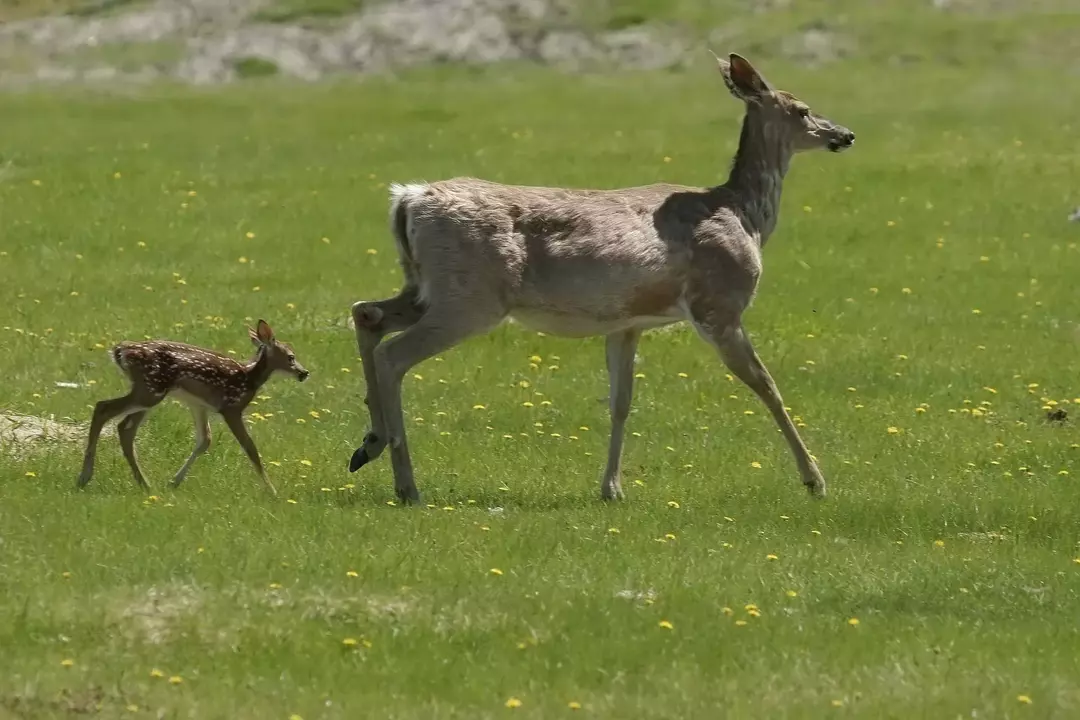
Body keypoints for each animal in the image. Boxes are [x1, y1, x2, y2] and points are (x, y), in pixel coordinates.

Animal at [76, 321, 308, 496]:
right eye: (291, 357)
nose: (304, 373)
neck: (248, 378)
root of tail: (120, 350)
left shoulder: (198, 405)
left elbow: (205, 440)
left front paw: (173, 482)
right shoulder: (231, 407)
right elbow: (250, 448)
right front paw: (273, 492)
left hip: (148, 390)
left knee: (124, 427)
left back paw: (143, 483)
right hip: (150, 390)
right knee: (104, 408)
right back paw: (85, 477)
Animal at [349, 53, 855, 505]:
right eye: (802, 108)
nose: (846, 134)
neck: (744, 214)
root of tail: (408, 198)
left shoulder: (627, 323)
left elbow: (620, 402)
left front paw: (611, 488)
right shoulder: (718, 304)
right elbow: (766, 385)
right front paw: (815, 481)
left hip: (425, 287)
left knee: (367, 313)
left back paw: (368, 445)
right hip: (470, 297)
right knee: (393, 354)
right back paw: (406, 484)